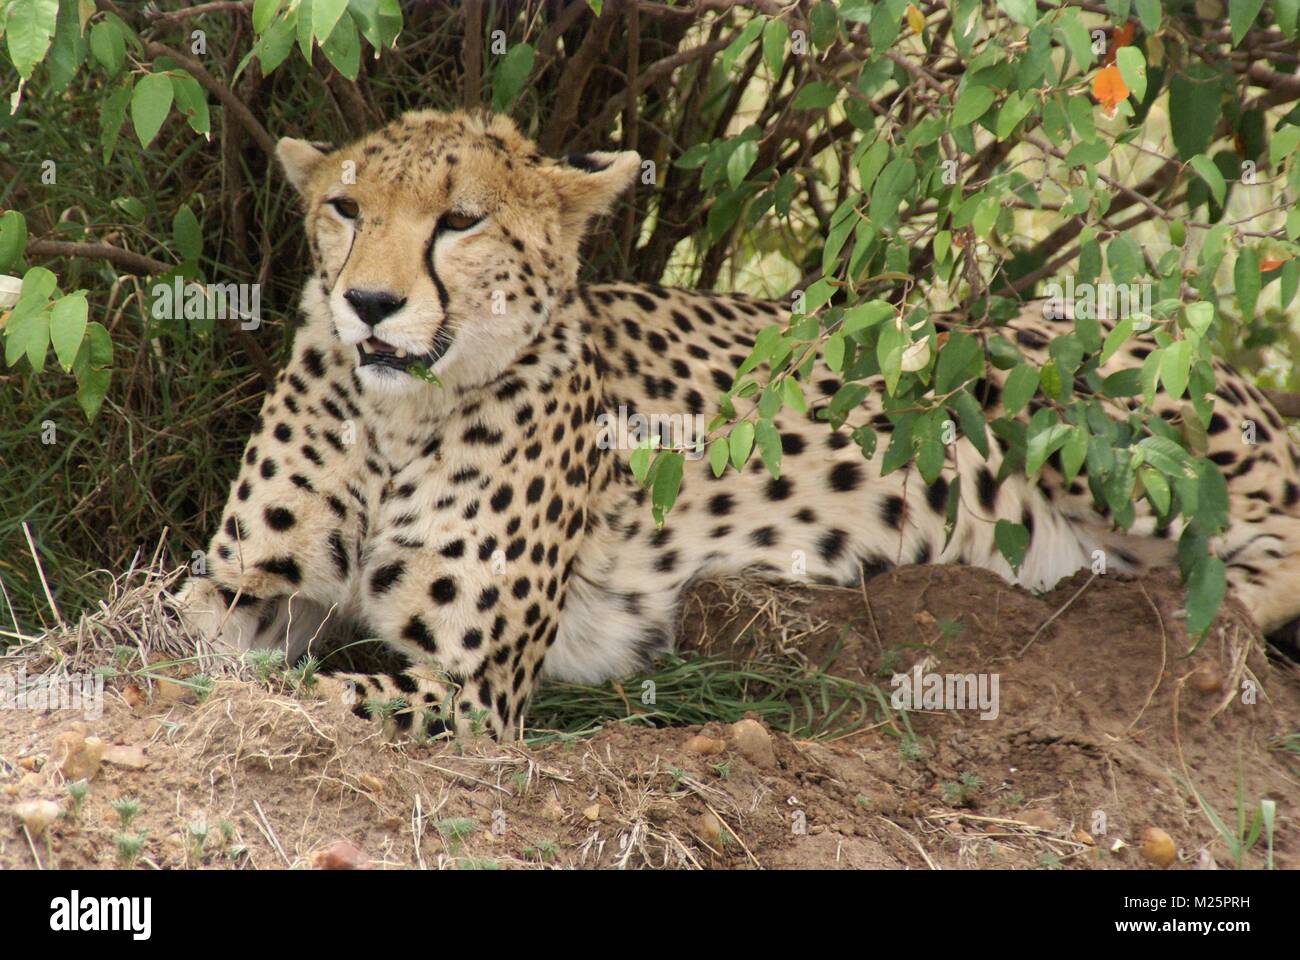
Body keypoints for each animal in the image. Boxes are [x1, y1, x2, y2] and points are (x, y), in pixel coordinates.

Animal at [175, 107, 1300, 740]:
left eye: (460, 220)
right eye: (346, 210)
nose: (367, 304)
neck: (401, 415)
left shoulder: (476, 683)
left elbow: (314, 698)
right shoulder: (240, 588)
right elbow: (161, 640)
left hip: (1037, 381)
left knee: (1261, 550)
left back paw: (1162, 613)